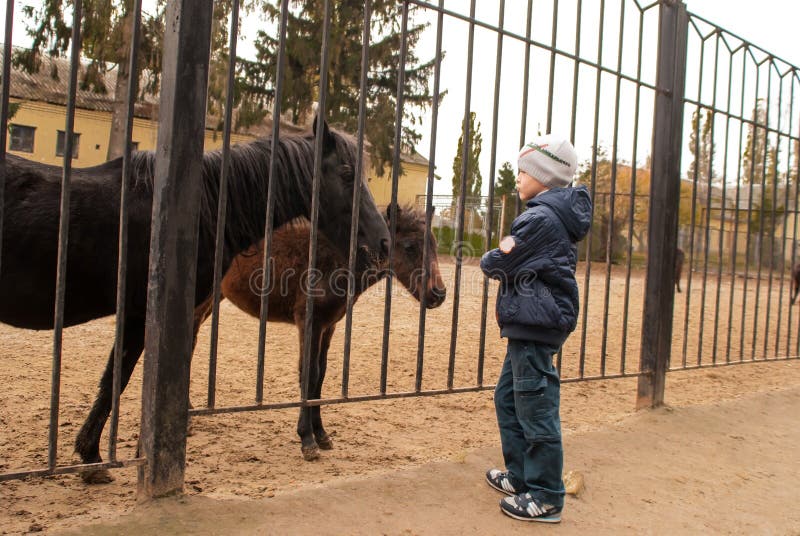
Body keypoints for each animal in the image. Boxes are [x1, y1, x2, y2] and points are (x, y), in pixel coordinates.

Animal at [193, 204, 446, 461]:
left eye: (435, 245)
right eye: (409, 246)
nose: (439, 293)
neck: (334, 257)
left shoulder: (328, 326)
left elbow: (321, 375)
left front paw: (322, 434)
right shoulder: (310, 322)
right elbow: (309, 374)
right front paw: (307, 439)